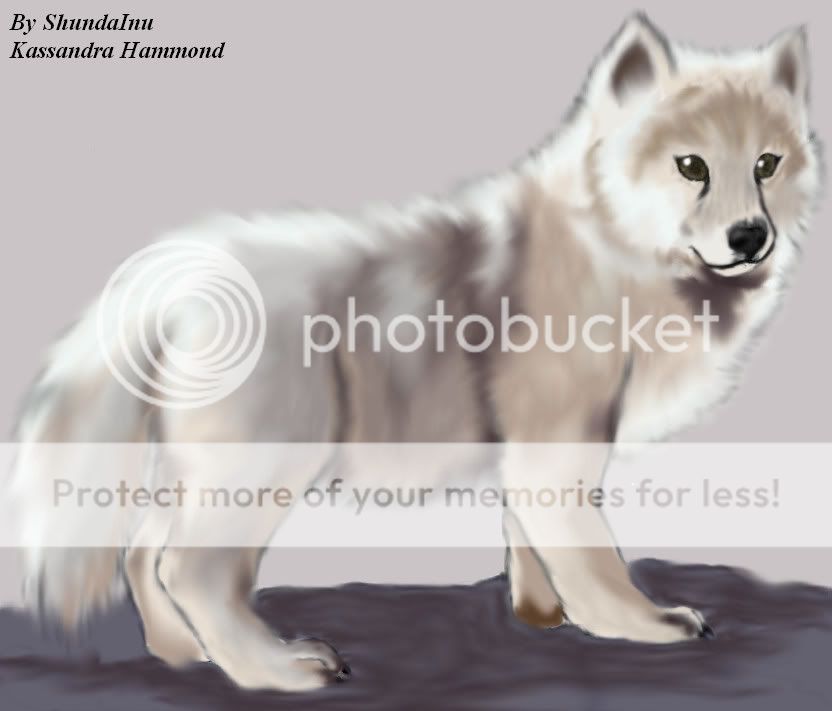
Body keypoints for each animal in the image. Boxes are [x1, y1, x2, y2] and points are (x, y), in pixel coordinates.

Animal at [10, 14, 821, 692]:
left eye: (767, 164)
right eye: (691, 167)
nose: (751, 237)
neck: (607, 245)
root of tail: (175, 272)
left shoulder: (533, 452)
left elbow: (529, 539)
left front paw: (541, 616)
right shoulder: (559, 442)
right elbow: (589, 553)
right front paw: (639, 624)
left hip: (205, 473)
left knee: (143, 553)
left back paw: (184, 654)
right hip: (263, 468)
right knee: (190, 570)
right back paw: (275, 669)